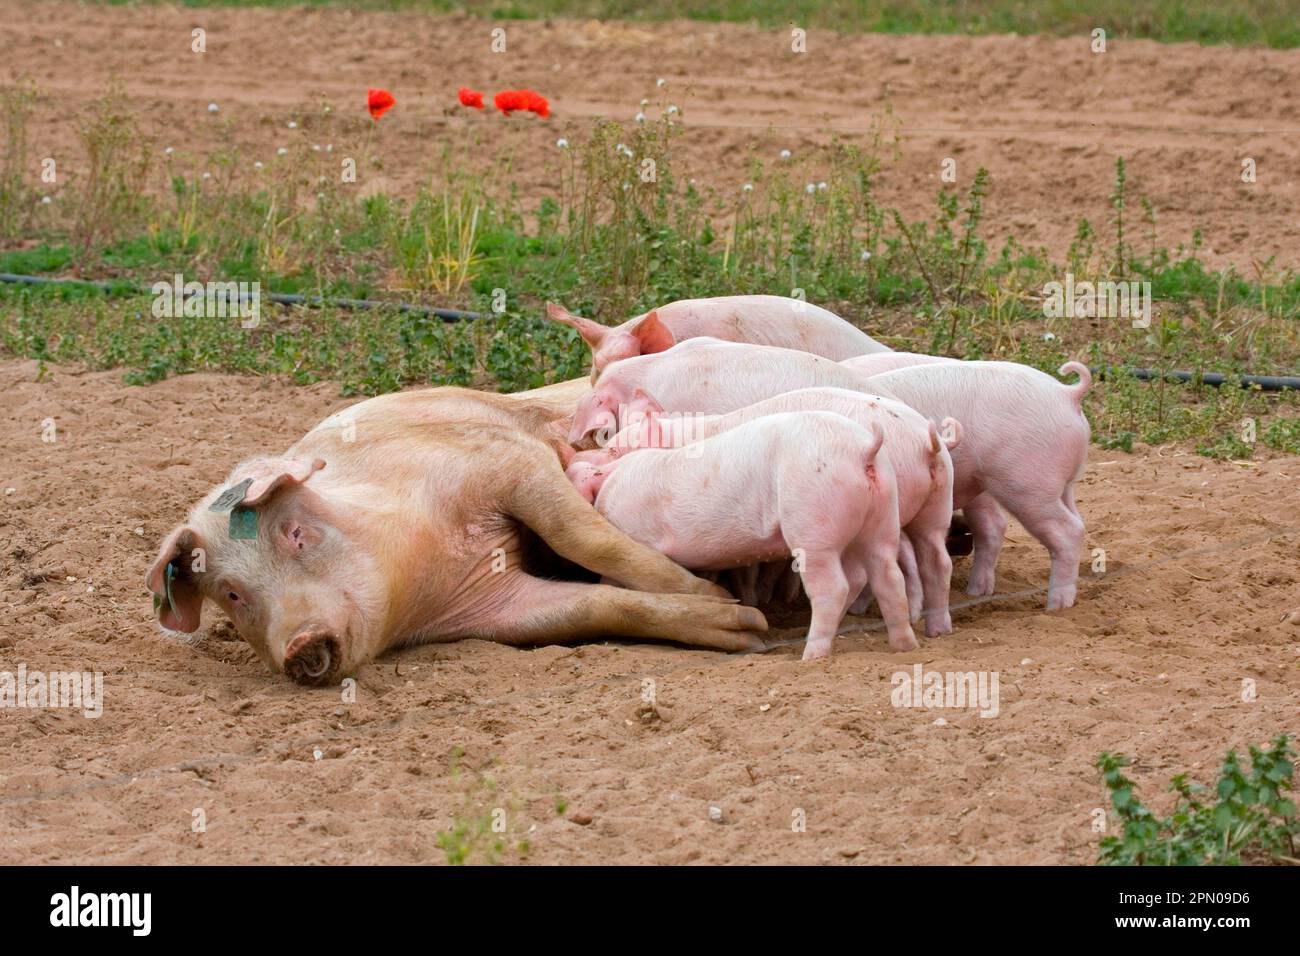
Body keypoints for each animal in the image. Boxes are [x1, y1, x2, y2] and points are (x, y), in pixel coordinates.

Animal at [146, 379, 766, 685]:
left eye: (295, 533)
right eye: (232, 594)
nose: (299, 643)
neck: (427, 567)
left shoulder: (506, 461)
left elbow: (584, 538)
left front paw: (730, 606)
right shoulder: (491, 610)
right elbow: (592, 608)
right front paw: (740, 627)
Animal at [570, 338, 1091, 610]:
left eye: (608, 440)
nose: (574, 460)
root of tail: (1069, 395)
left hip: (1027, 480)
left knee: (1062, 532)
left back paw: (1056, 604)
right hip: (1020, 483)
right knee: (1012, 525)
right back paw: (979, 592)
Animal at [584, 387, 961, 636]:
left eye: (614, 448)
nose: (583, 465)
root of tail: (927, 441)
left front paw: (753, 598)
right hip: (935, 503)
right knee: (934, 558)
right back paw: (935, 628)